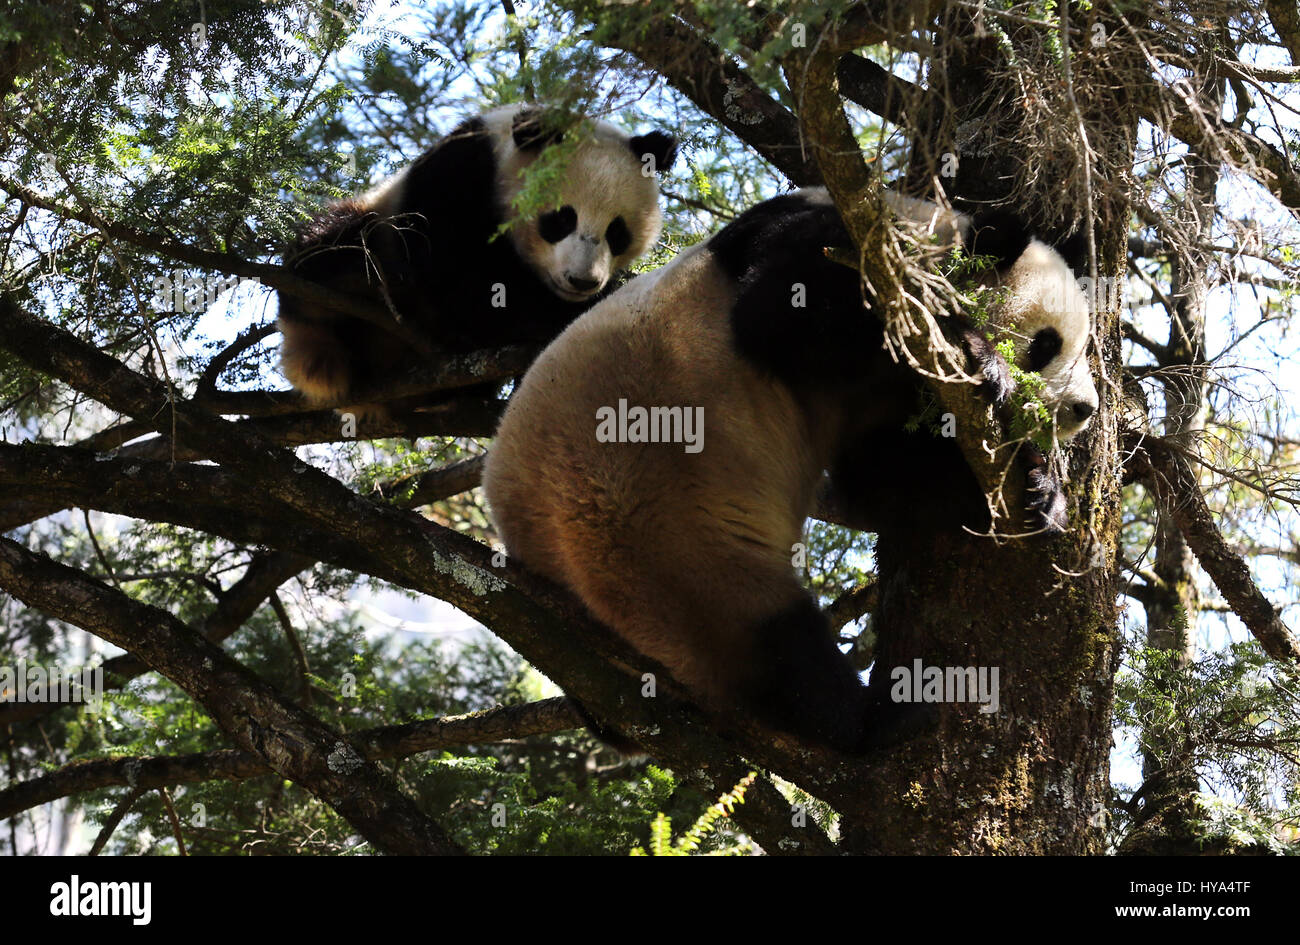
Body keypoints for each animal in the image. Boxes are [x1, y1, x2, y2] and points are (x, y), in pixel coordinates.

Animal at [277, 104, 677, 408]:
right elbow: (457, 278)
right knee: (335, 245)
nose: (582, 281)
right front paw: (546, 316)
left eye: (617, 232)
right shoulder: (458, 174)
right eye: (562, 219)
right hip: (369, 231)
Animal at [482, 187, 1098, 753]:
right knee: (781, 649)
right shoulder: (826, 246)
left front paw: (1040, 489)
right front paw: (977, 354)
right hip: (656, 536)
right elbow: (777, 320)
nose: (1083, 410)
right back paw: (883, 716)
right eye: (1047, 343)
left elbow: (881, 475)